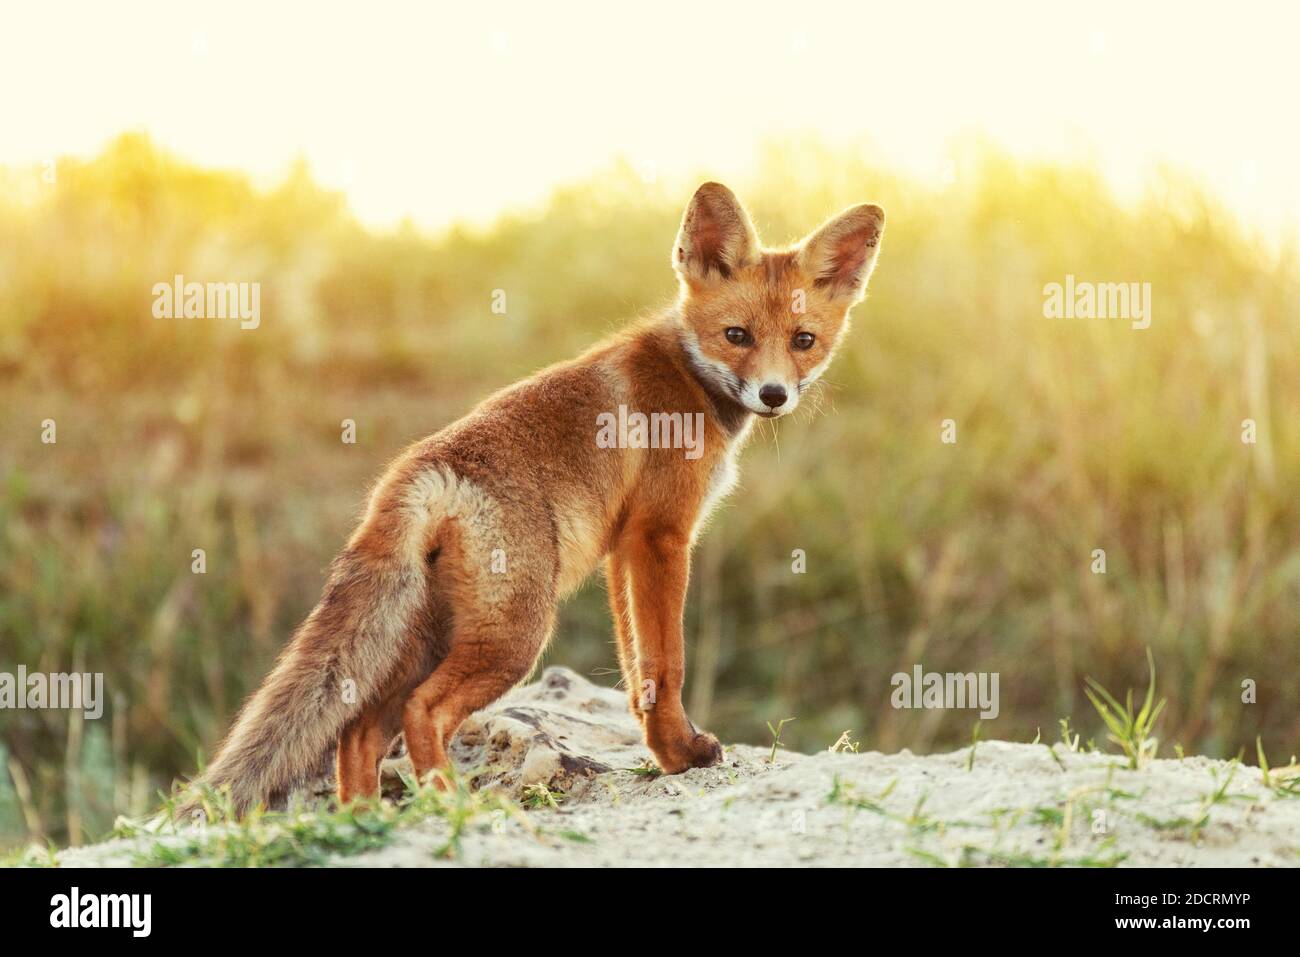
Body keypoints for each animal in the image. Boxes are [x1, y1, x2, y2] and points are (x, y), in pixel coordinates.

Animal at [186, 182, 885, 815]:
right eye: (736, 335)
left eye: (803, 341)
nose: (774, 395)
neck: (688, 377)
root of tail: (420, 470)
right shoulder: (660, 534)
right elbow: (667, 664)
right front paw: (682, 754)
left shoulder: (622, 549)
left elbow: (635, 666)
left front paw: (664, 751)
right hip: (516, 636)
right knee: (422, 710)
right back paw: (452, 806)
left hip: (431, 638)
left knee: (357, 732)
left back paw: (368, 820)